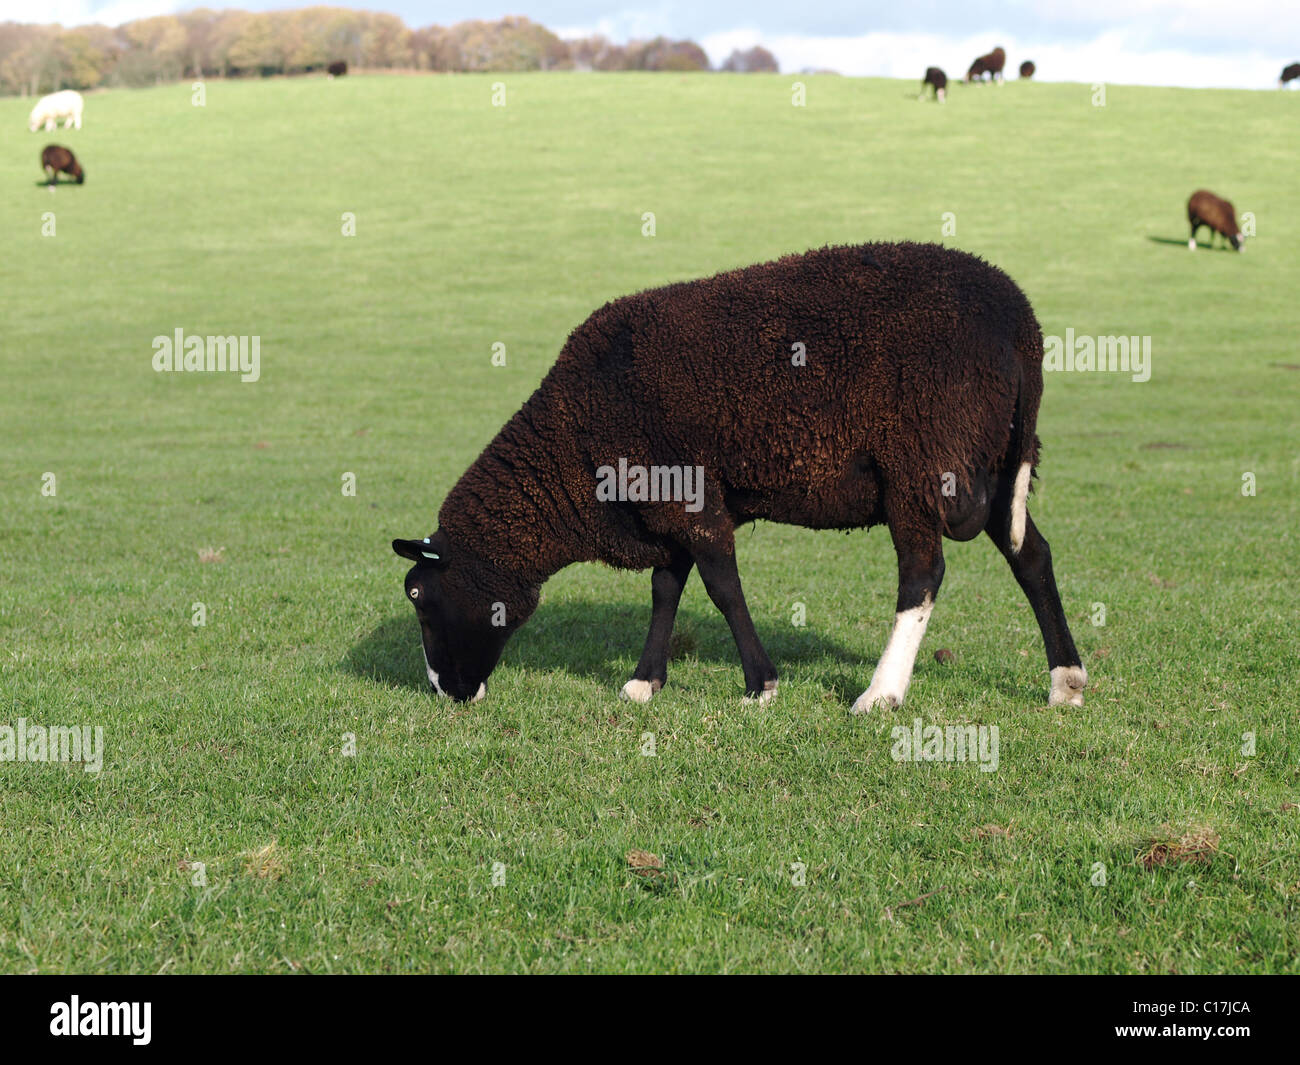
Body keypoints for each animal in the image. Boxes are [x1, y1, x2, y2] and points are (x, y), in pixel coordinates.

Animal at [392, 242, 1087, 713]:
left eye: (419, 595)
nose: (444, 692)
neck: (573, 448)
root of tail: (1022, 327)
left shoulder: (691, 498)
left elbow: (723, 588)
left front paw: (761, 684)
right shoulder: (664, 505)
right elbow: (666, 590)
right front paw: (644, 681)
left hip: (920, 465)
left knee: (923, 574)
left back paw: (881, 694)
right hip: (993, 466)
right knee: (1032, 555)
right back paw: (1066, 681)